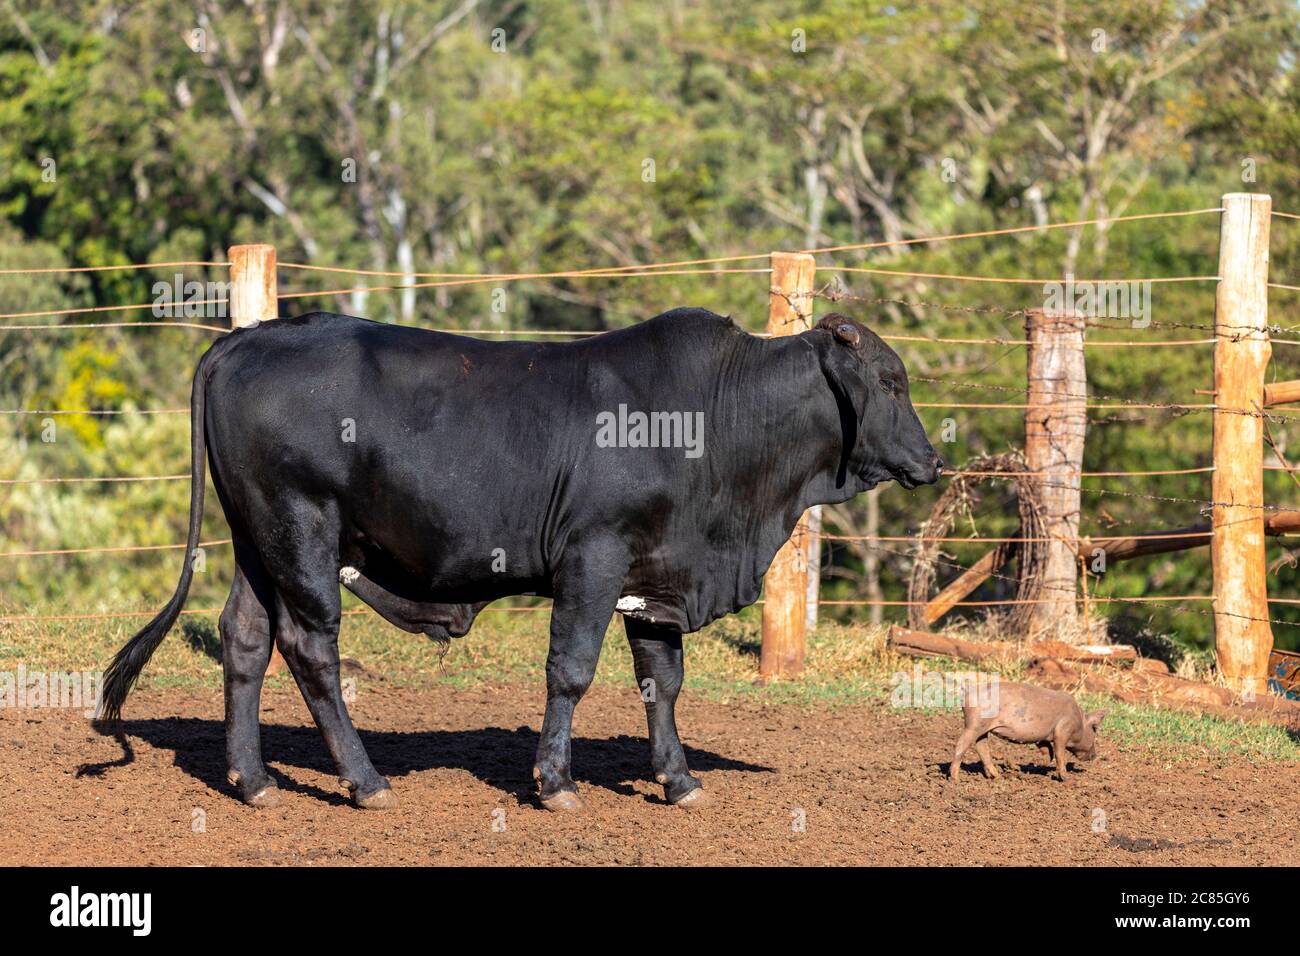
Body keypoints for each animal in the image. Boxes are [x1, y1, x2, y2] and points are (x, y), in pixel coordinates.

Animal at [99, 308, 942, 811]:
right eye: (893, 381)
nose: (934, 461)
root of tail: (248, 335)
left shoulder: (655, 577)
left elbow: (661, 683)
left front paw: (678, 780)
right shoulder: (594, 558)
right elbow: (571, 671)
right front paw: (556, 782)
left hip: (258, 542)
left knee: (245, 639)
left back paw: (254, 780)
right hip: (301, 528)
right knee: (311, 648)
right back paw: (365, 782)